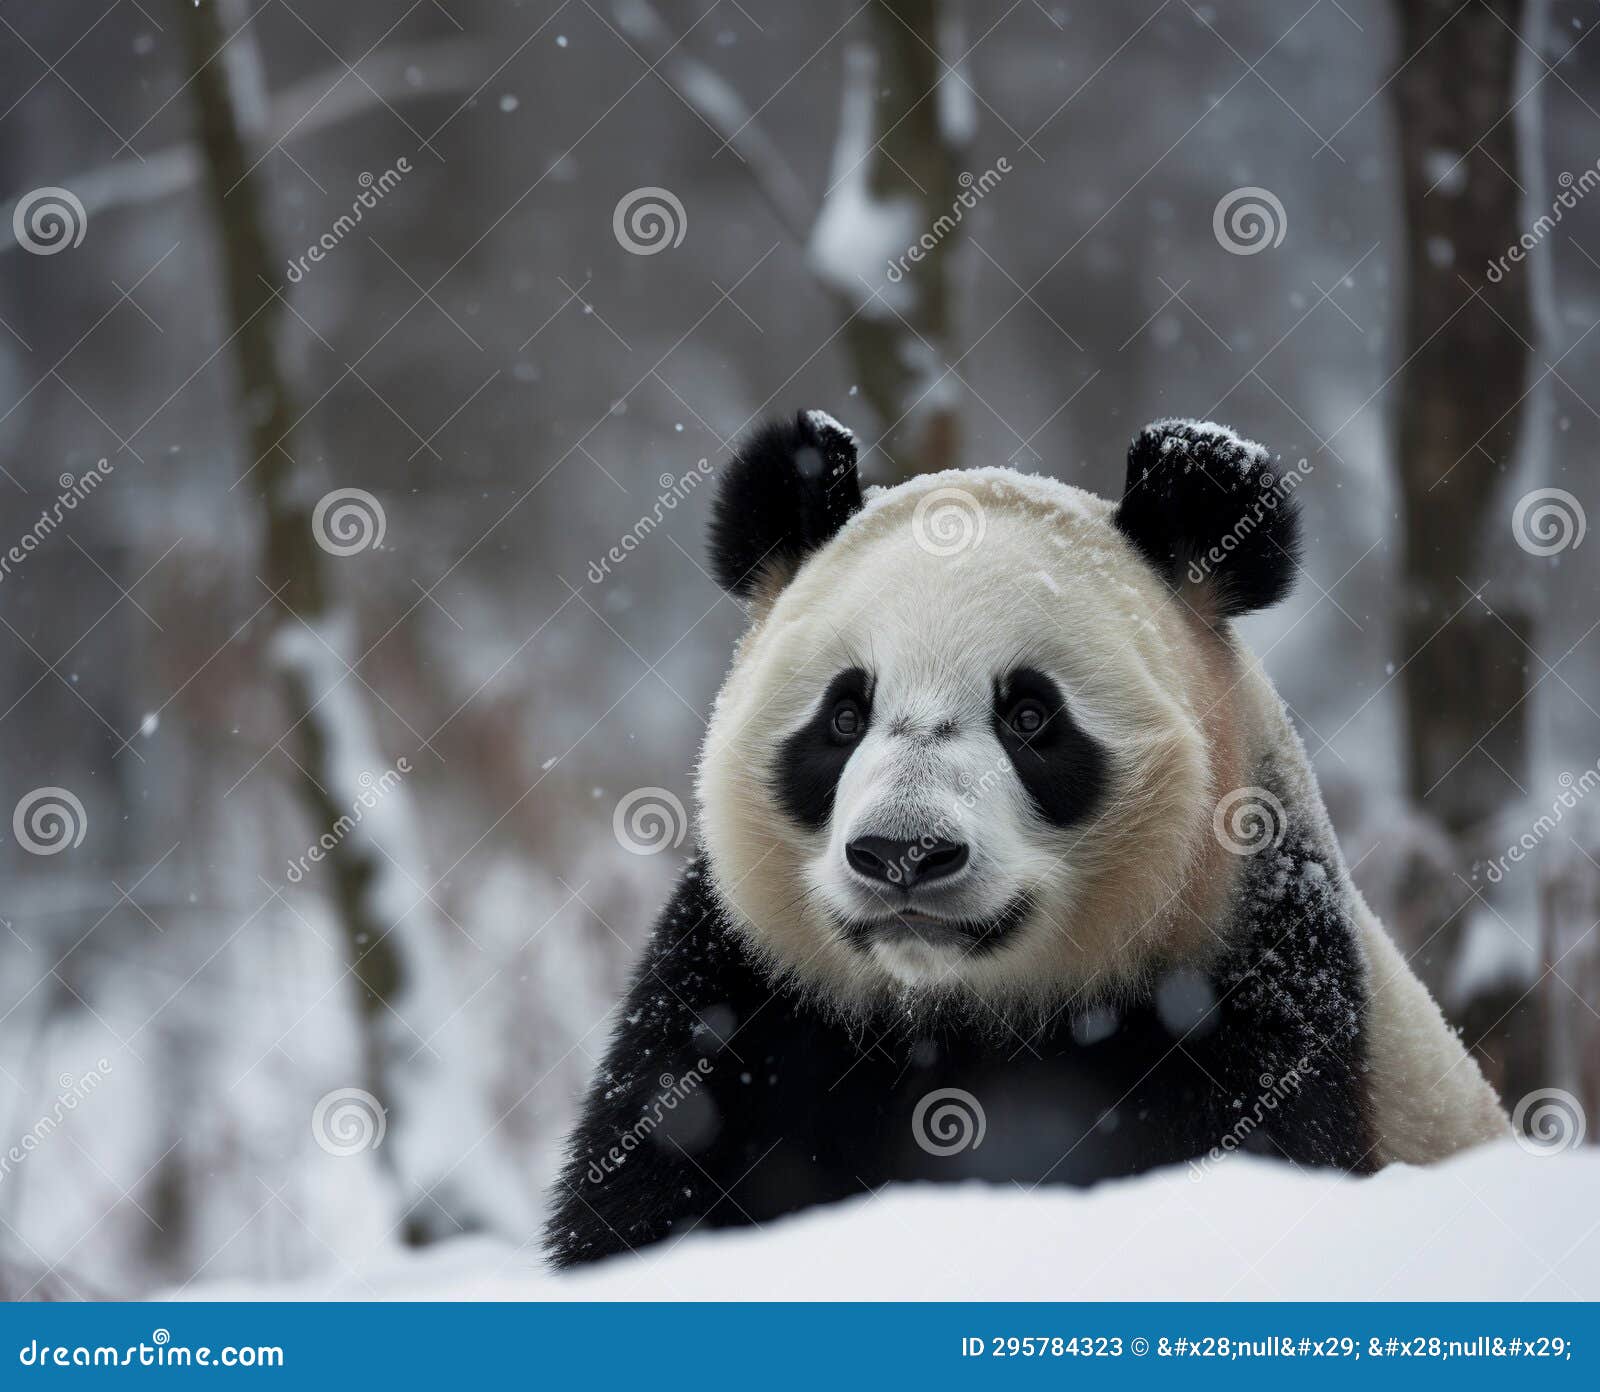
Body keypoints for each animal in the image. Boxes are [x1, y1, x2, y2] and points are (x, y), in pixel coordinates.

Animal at [545, 409, 1508, 1268]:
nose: (902, 854)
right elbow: (653, 1182)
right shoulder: (750, 1004)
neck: (954, 1018)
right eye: (845, 715)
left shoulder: (1243, 988)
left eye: (1031, 716)